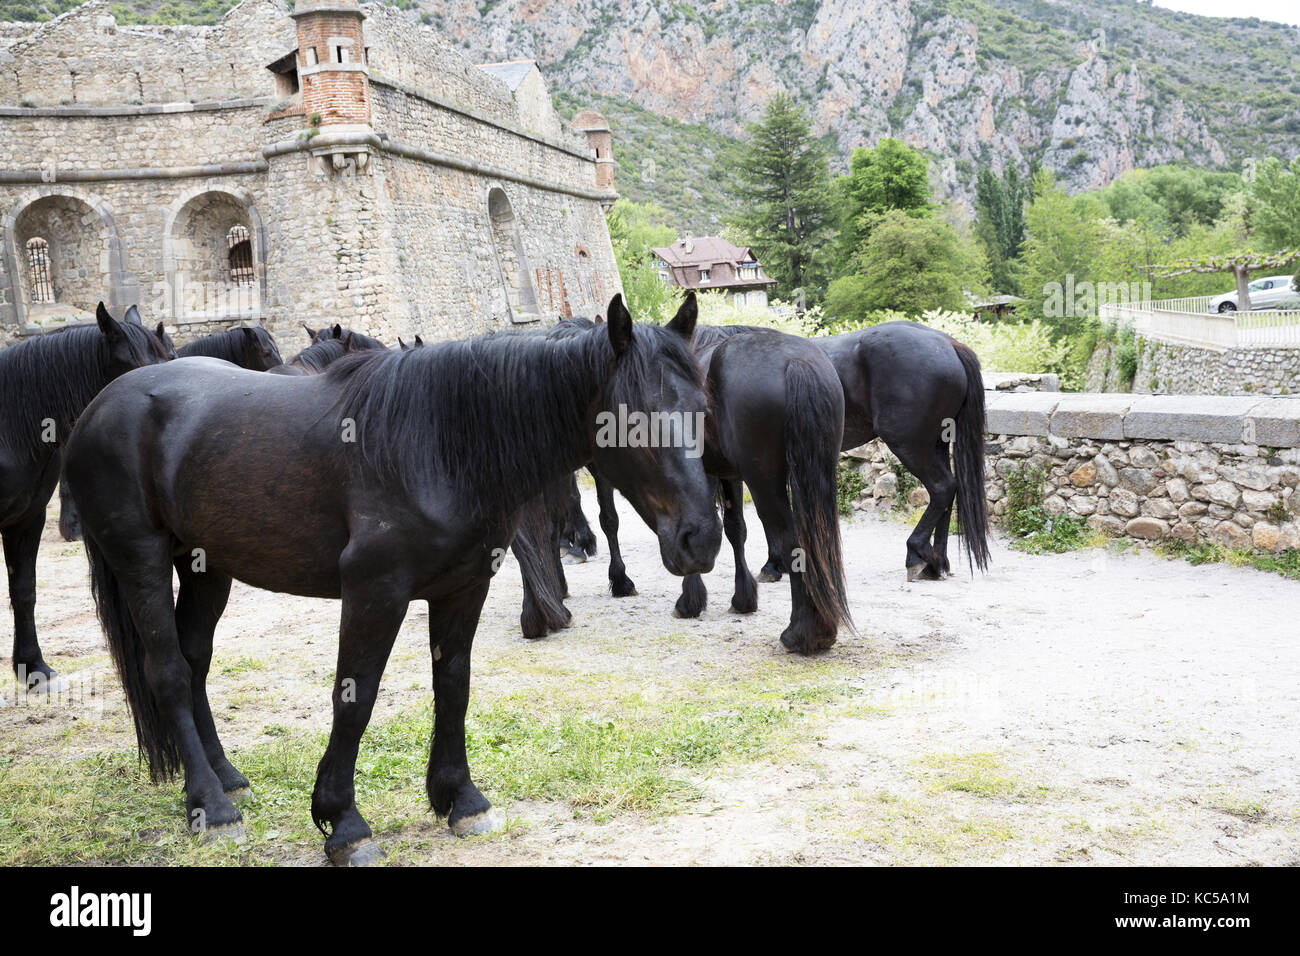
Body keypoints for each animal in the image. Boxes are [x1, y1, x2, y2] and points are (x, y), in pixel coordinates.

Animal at [1, 303, 172, 690]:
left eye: (169, 358)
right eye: (132, 366)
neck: (8, 427)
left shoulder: (27, 519)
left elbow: (24, 590)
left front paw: (33, 668)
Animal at [64, 293, 721, 865]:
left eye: (703, 410)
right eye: (631, 418)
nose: (702, 539)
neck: (437, 443)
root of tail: (102, 404)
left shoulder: (462, 588)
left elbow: (453, 686)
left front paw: (461, 800)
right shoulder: (373, 594)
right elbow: (355, 698)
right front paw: (343, 823)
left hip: (206, 567)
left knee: (195, 658)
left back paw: (225, 781)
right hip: (143, 561)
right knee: (169, 672)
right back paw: (212, 808)